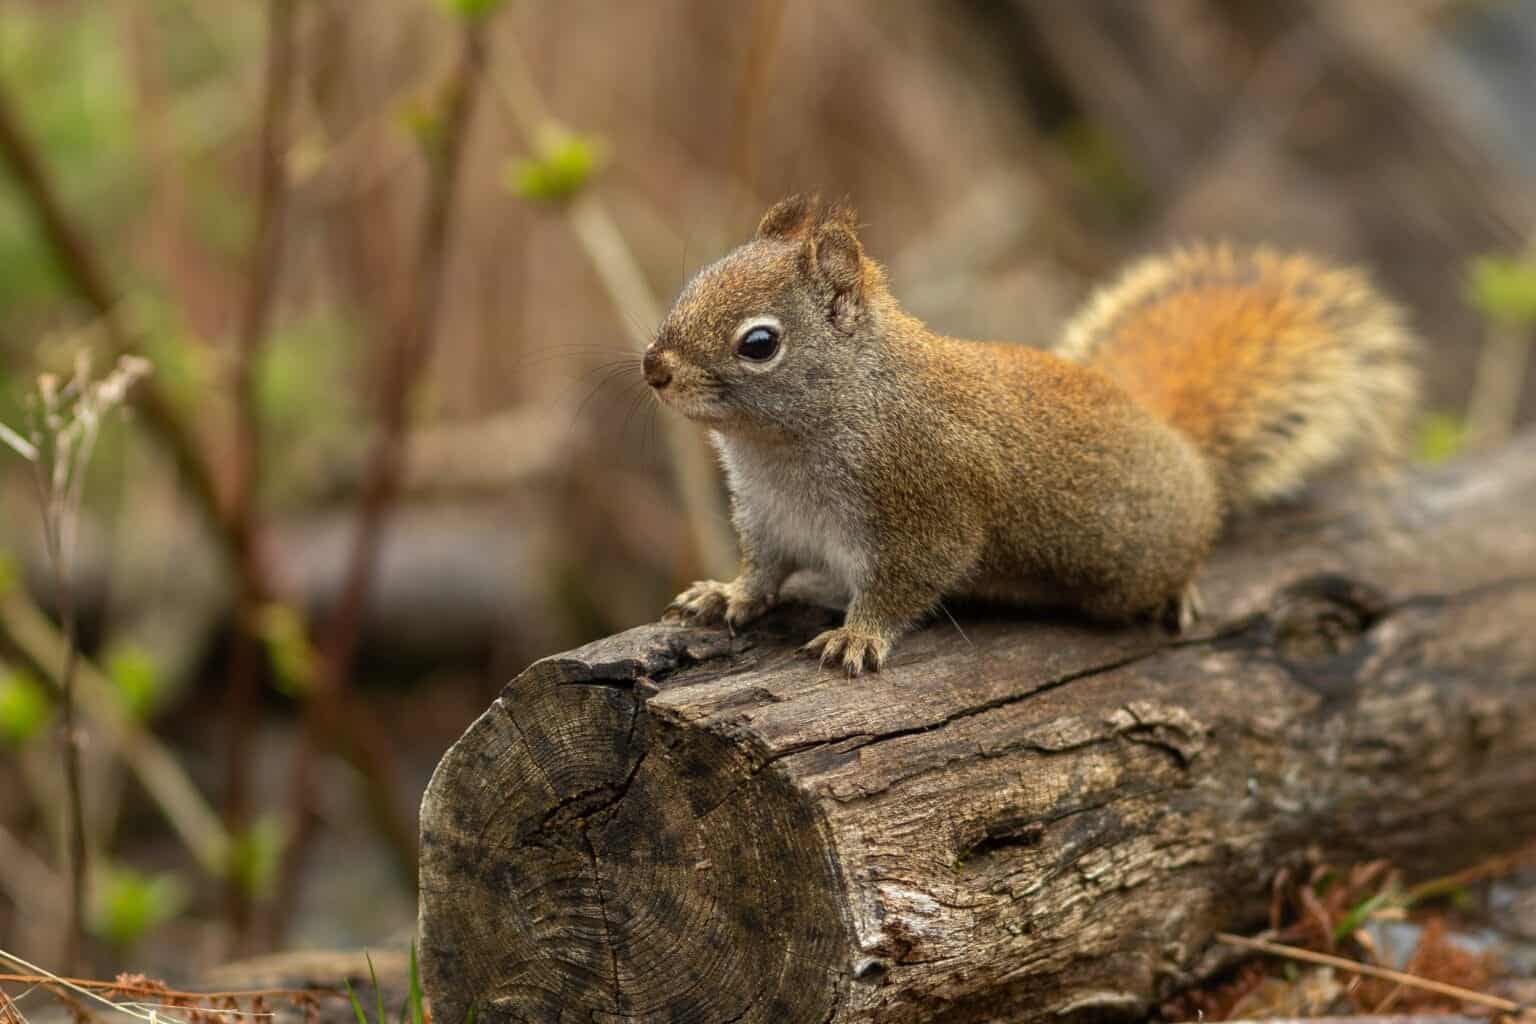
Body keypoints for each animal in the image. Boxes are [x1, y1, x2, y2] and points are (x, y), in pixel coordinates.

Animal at [646, 195, 1420, 674]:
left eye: (760, 343)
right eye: (694, 283)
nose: (655, 368)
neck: (779, 448)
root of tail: (1173, 438)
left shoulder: (929, 511)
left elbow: (906, 585)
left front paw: (857, 636)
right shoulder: (769, 518)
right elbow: (763, 570)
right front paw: (726, 596)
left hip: (1132, 564)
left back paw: (1177, 594)